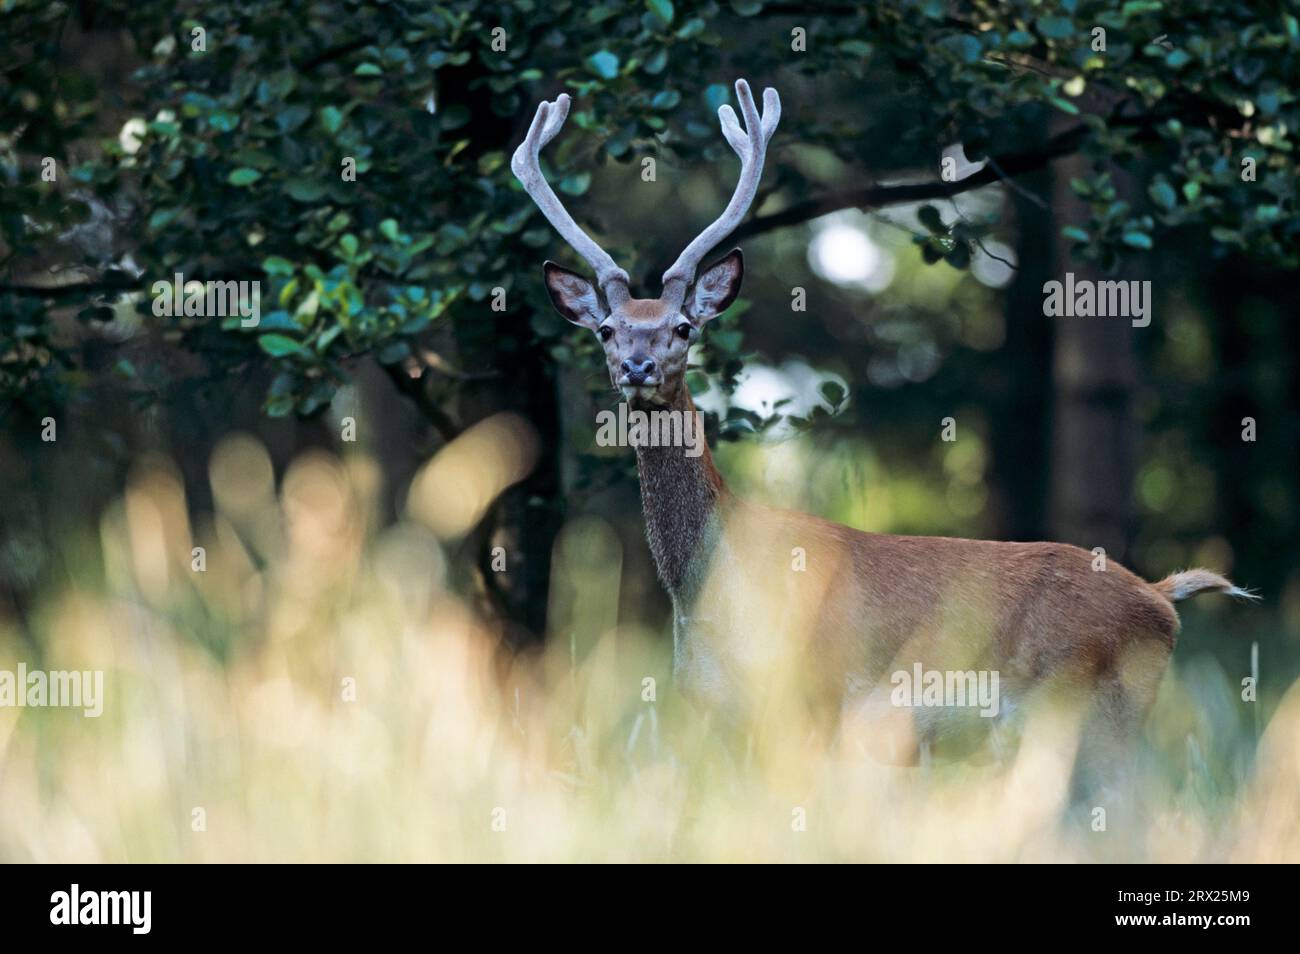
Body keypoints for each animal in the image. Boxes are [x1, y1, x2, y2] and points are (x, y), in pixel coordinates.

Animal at [511, 78, 1255, 797]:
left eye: (684, 327)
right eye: (607, 330)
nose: (637, 367)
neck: (708, 586)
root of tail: (1162, 597)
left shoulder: (812, 698)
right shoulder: (722, 715)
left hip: (1098, 712)